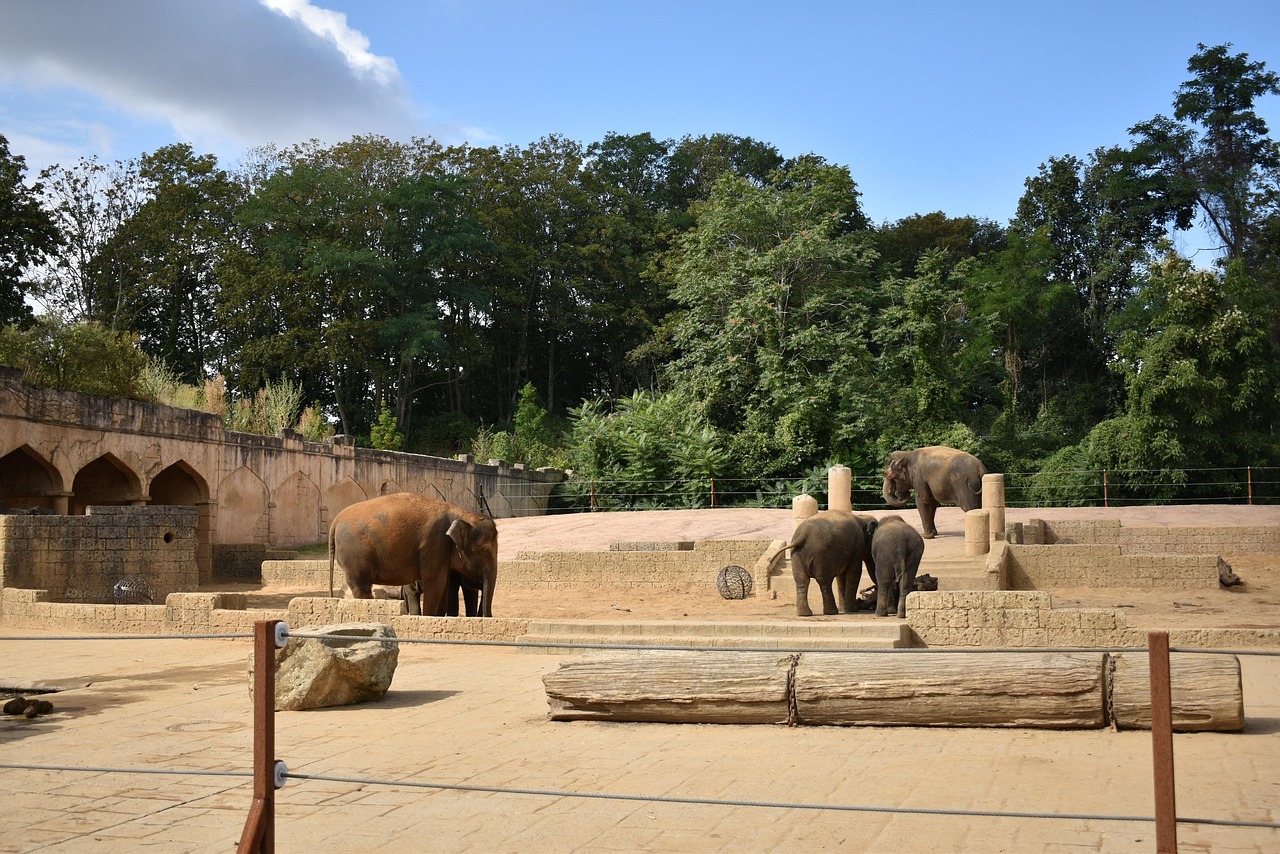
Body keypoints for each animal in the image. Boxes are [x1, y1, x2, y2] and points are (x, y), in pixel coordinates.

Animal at [329, 493, 498, 617]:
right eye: (485, 551)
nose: (486, 617)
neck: (462, 514)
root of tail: (335, 521)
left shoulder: (441, 551)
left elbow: (444, 584)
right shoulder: (435, 544)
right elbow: (435, 581)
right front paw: (429, 617)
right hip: (354, 553)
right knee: (360, 584)